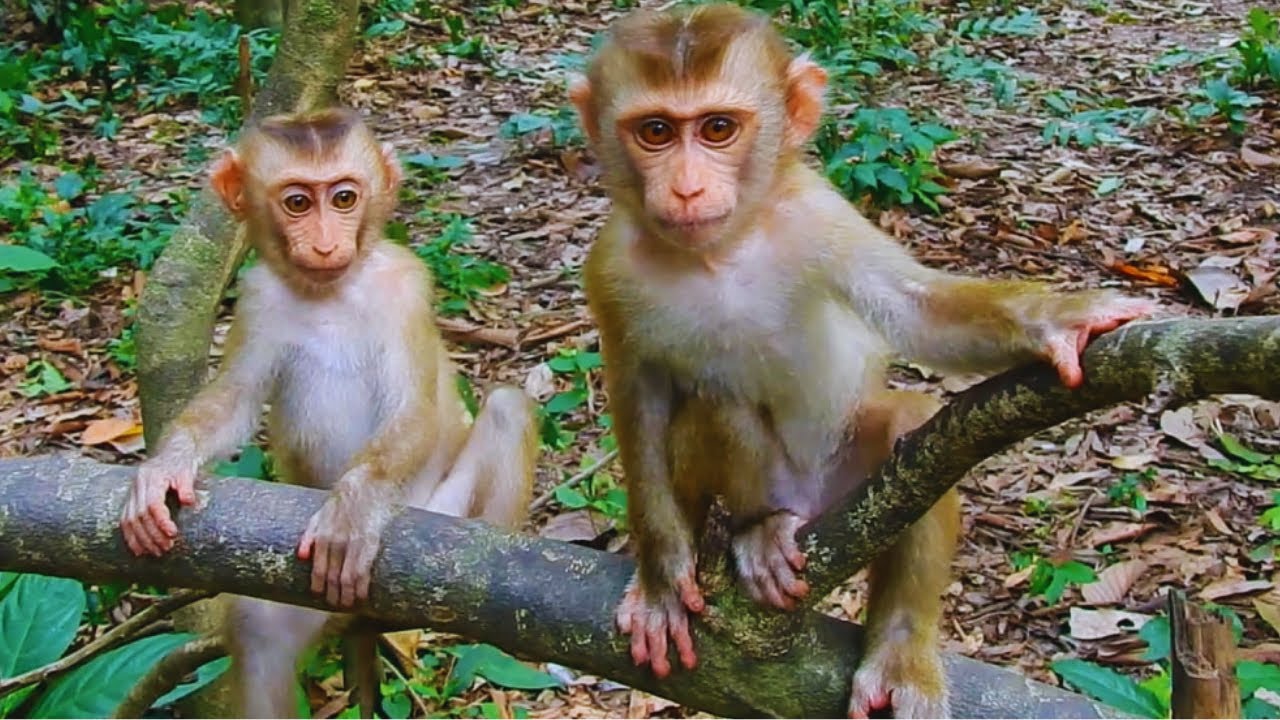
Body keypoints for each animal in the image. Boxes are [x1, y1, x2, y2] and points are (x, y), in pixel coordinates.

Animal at [118, 107, 540, 718]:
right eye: (298, 202)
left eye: (343, 198)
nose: (323, 243)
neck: (332, 292)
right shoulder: (258, 296)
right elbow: (236, 398)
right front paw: (165, 465)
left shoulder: (405, 286)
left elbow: (415, 410)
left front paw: (353, 506)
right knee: (260, 629)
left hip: (434, 517)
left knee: (506, 409)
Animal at [569, 5, 1156, 718]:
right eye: (655, 131)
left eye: (717, 128)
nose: (684, 188)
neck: (720, 253)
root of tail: (812, 504)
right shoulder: (610, 267)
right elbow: (639, 394)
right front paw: (659, 577)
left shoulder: (822, 216)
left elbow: (915, 310)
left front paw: (1058, 319)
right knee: (713, 409)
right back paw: (758, 532)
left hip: (848, 475)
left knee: (906, 428)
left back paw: (900, 649)